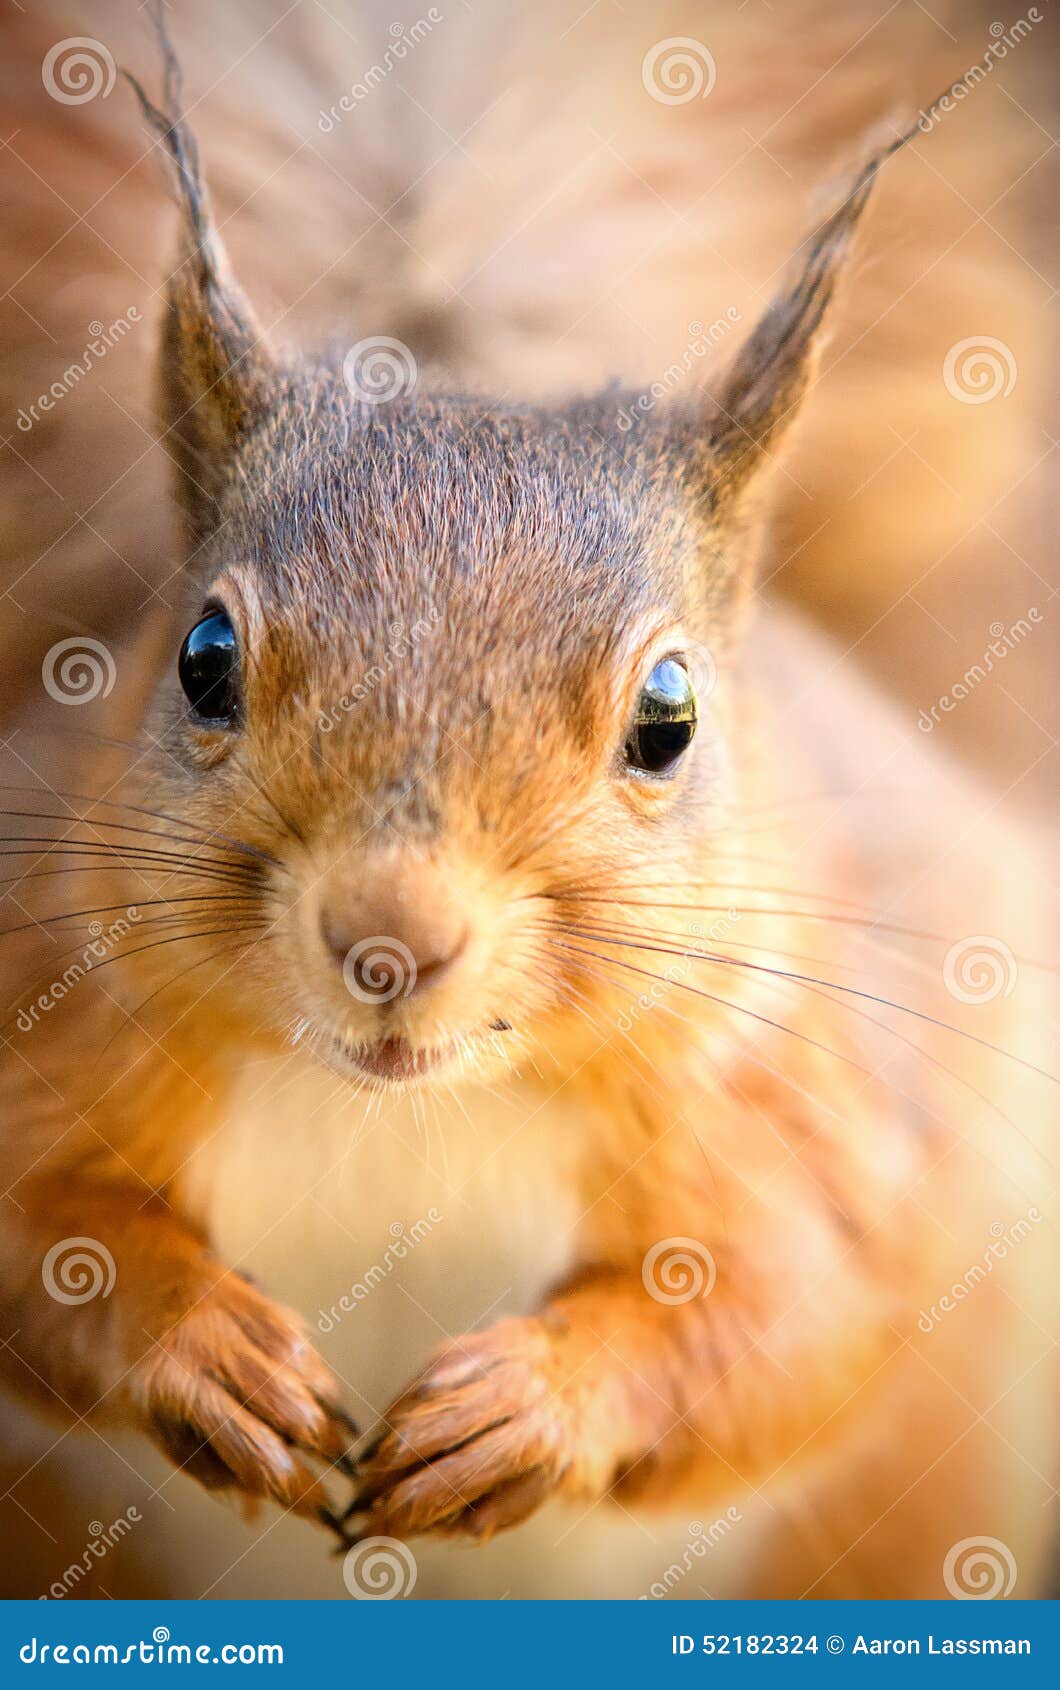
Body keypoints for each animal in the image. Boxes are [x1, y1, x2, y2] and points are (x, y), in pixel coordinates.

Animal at [0, 7, 1054, 1600]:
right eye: (201, 657)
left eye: (669, 716)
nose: (389, 937)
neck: (405, 1115)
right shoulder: (49, 1003)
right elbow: (42, 1248)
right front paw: (205, 1351)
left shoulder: (808, 1109)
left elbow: (791, 1317)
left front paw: (529, 1405)